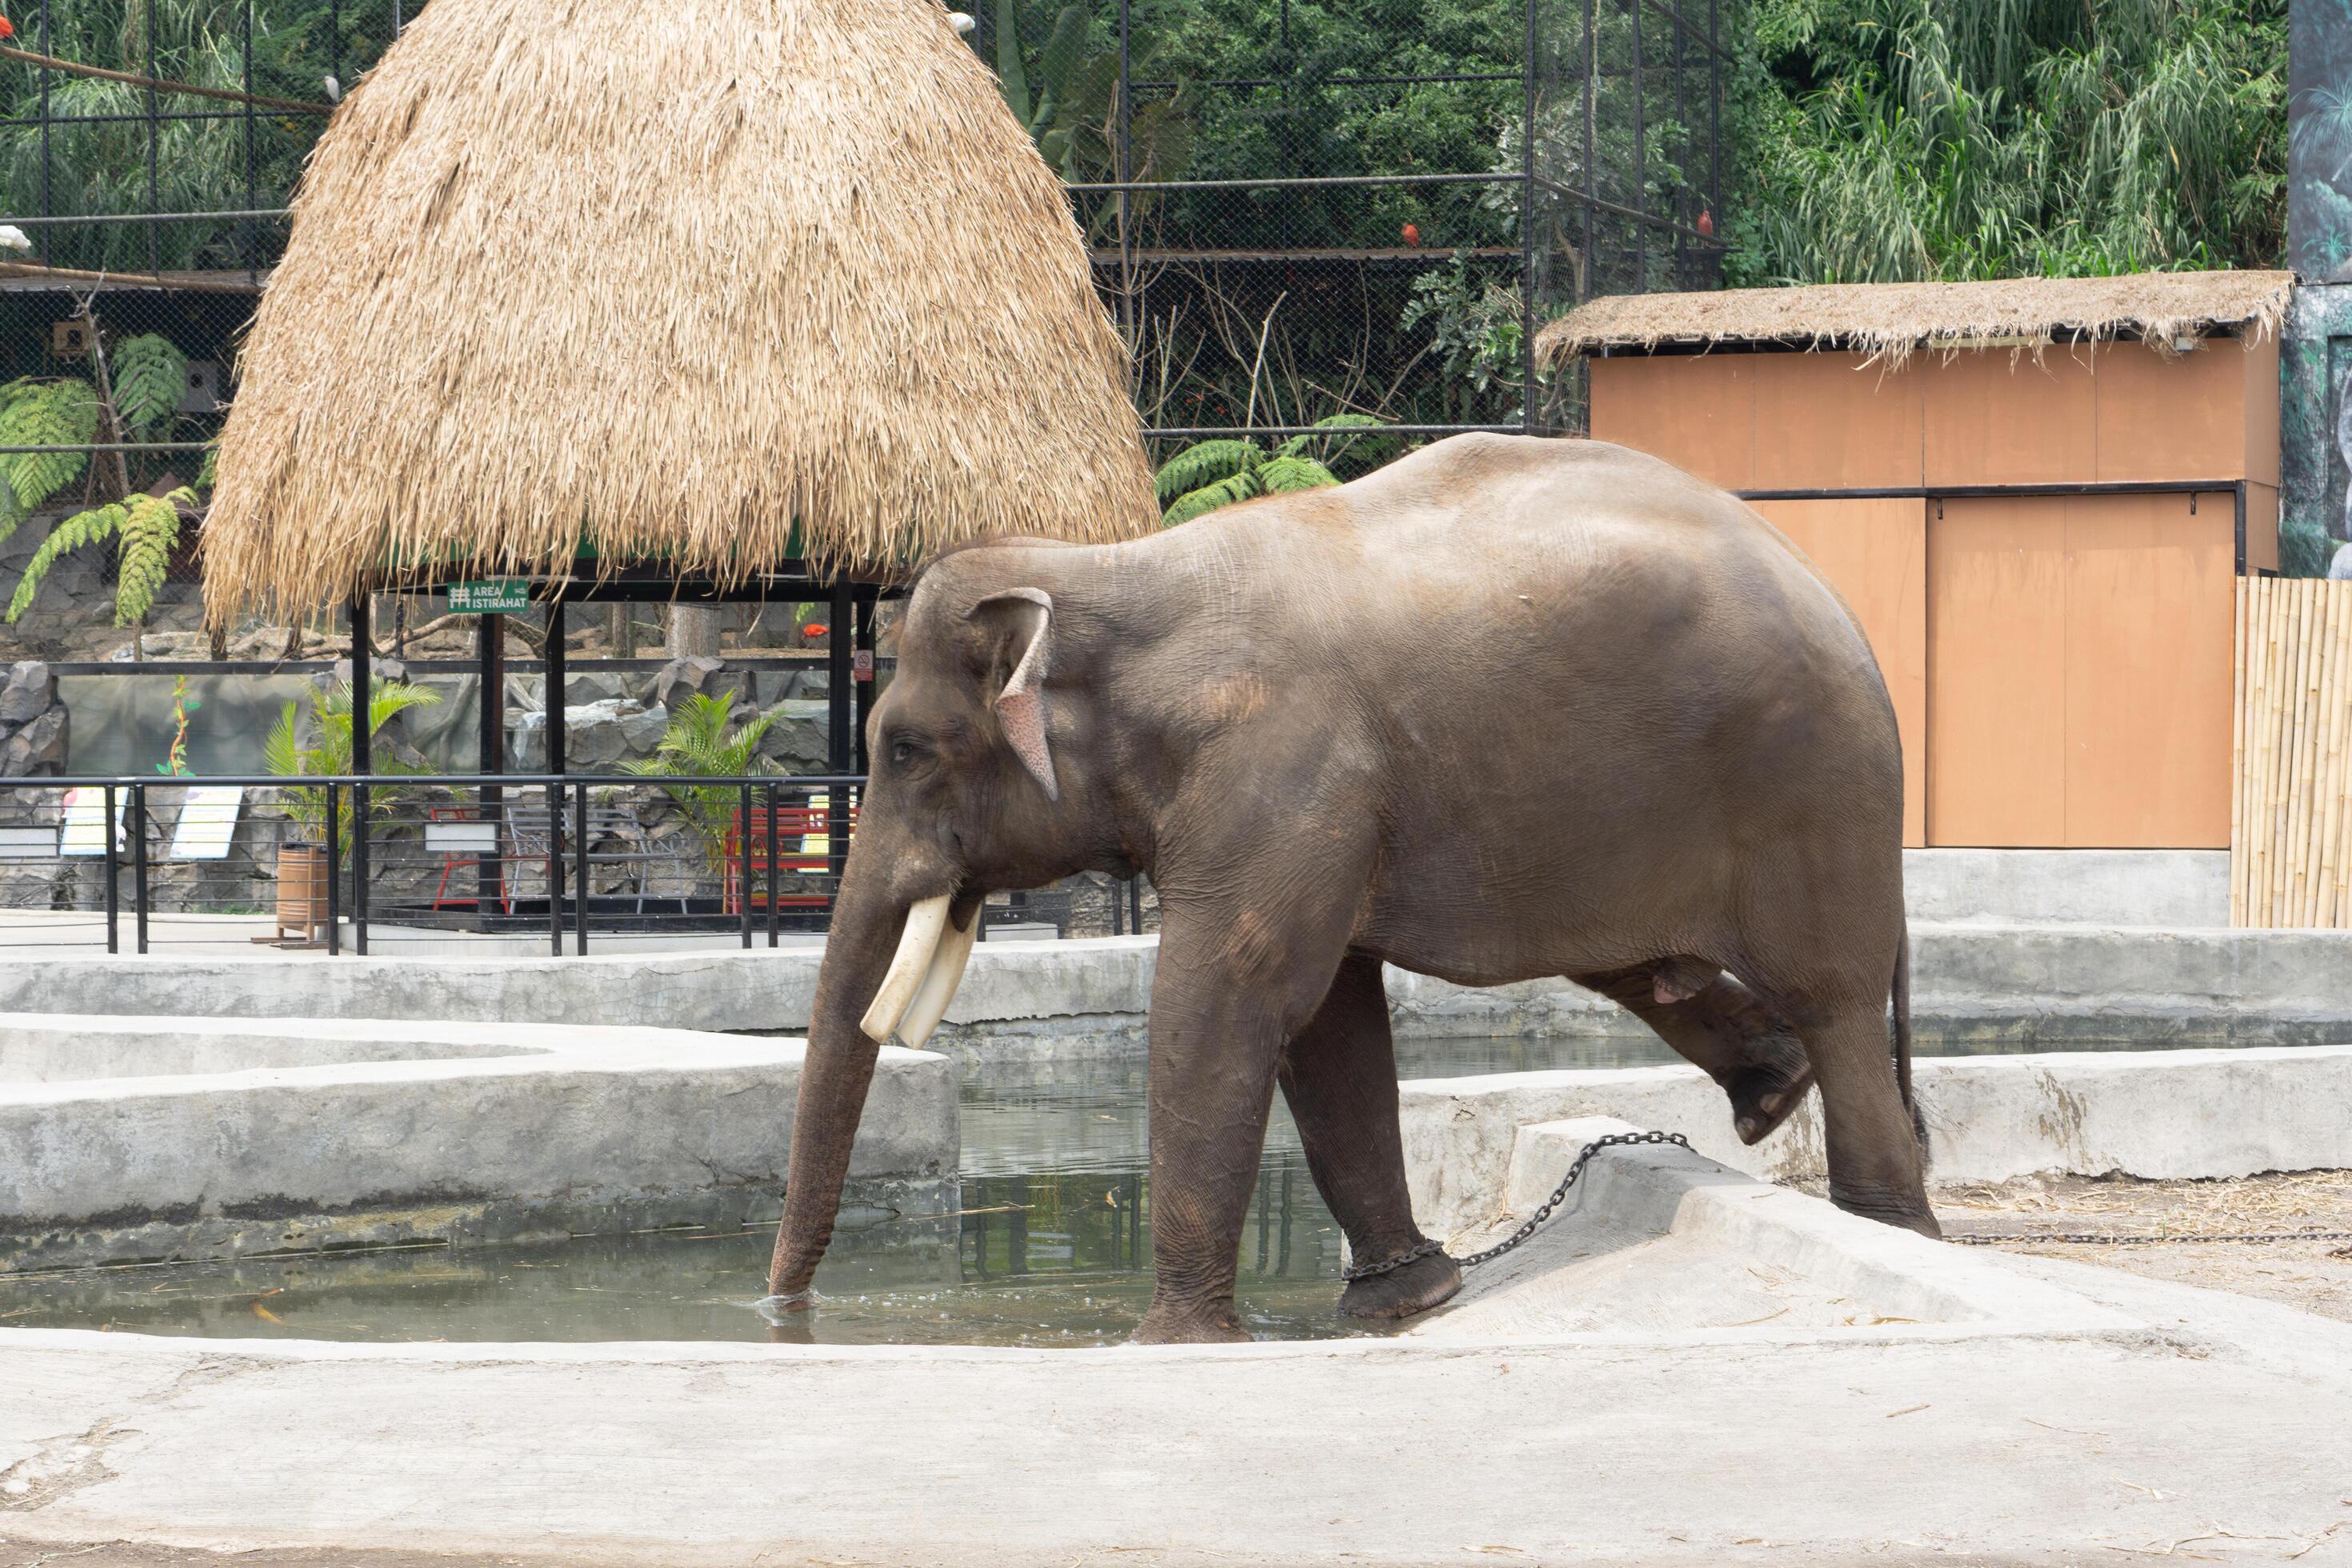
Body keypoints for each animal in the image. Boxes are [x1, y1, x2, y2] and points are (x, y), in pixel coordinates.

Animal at [767, 431, 1933, 1345]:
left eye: (907, 750)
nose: (783, 1312)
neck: (1114, 571)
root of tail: (1845, 611)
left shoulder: (1280, 770)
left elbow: (1229, 995)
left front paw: (1170, 1342)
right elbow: (1331, 1021)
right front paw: (1410, 1301)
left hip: (1809, 792)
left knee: (1832, 1004)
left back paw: (1889, 1225)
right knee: (1645, 967)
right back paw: (1772, 1094)